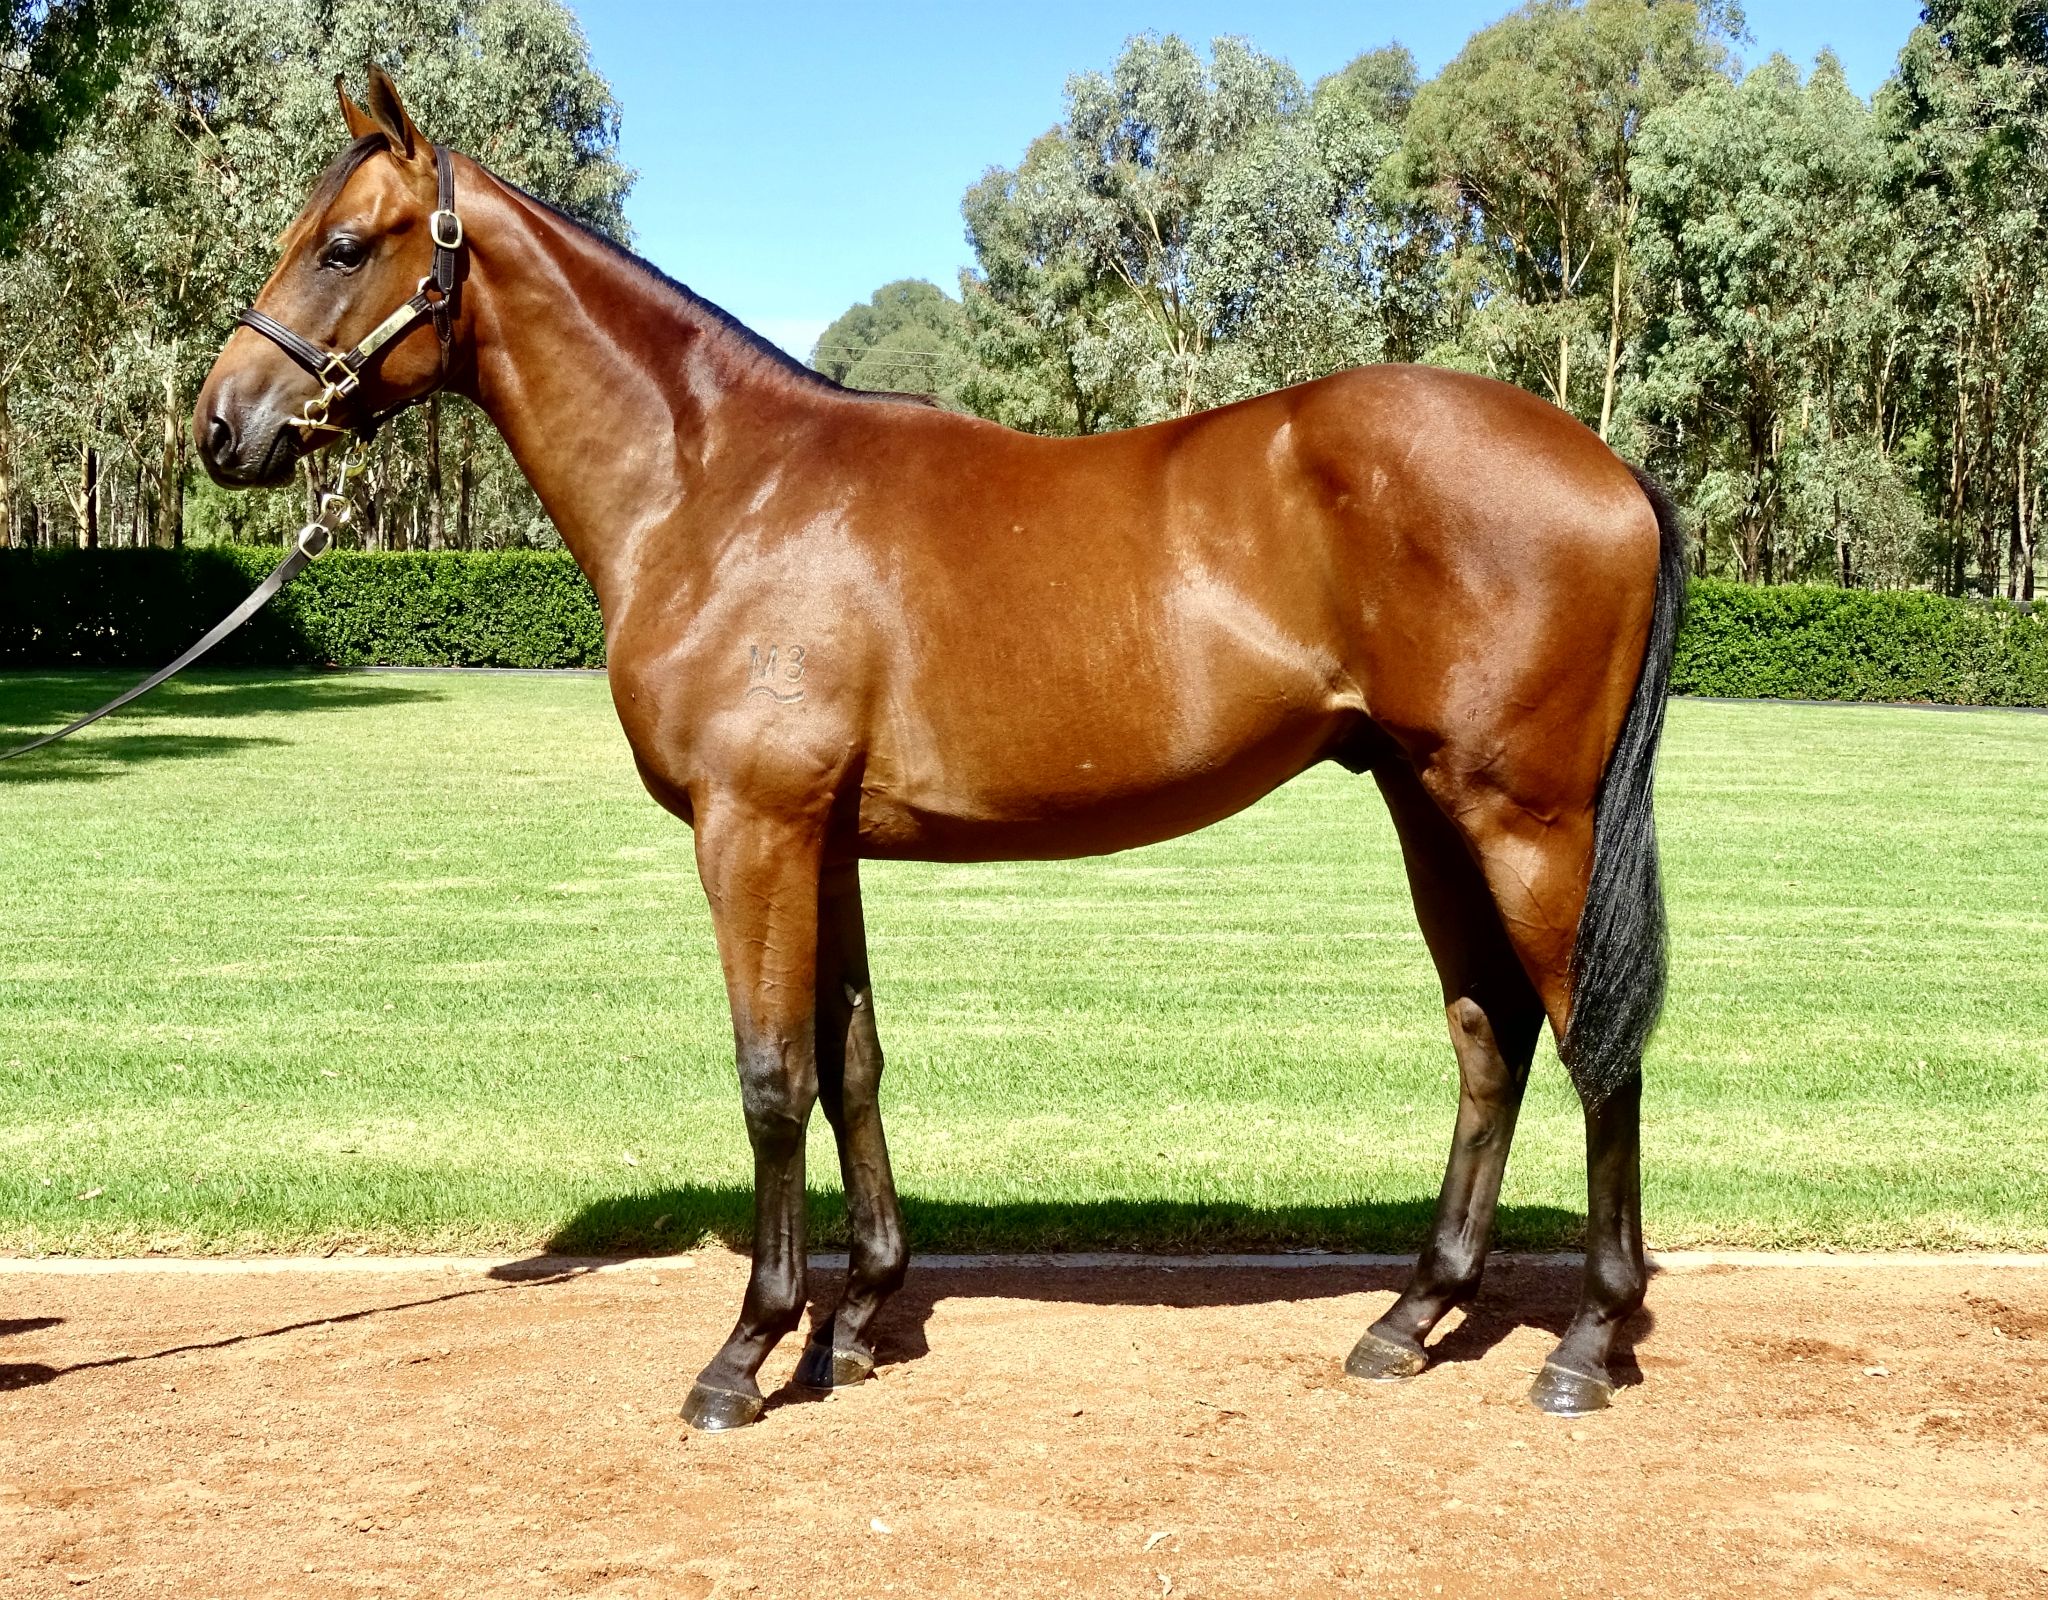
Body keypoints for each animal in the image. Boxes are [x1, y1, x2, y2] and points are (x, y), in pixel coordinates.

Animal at [194, 69, 1684, 1430]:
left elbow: (772, 1077)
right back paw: (1412, 1316)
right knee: (1491, 1035)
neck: (721, 488)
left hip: (1526, 822)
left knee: (1597, 1046)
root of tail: (1607, 467)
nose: (222, 424)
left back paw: (1583, 1345)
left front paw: (749, 1350)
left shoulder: (752, 829)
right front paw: (855, 1322)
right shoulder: (825, 840)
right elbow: (850, 1059)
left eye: (343, 246)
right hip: (1429, 807)